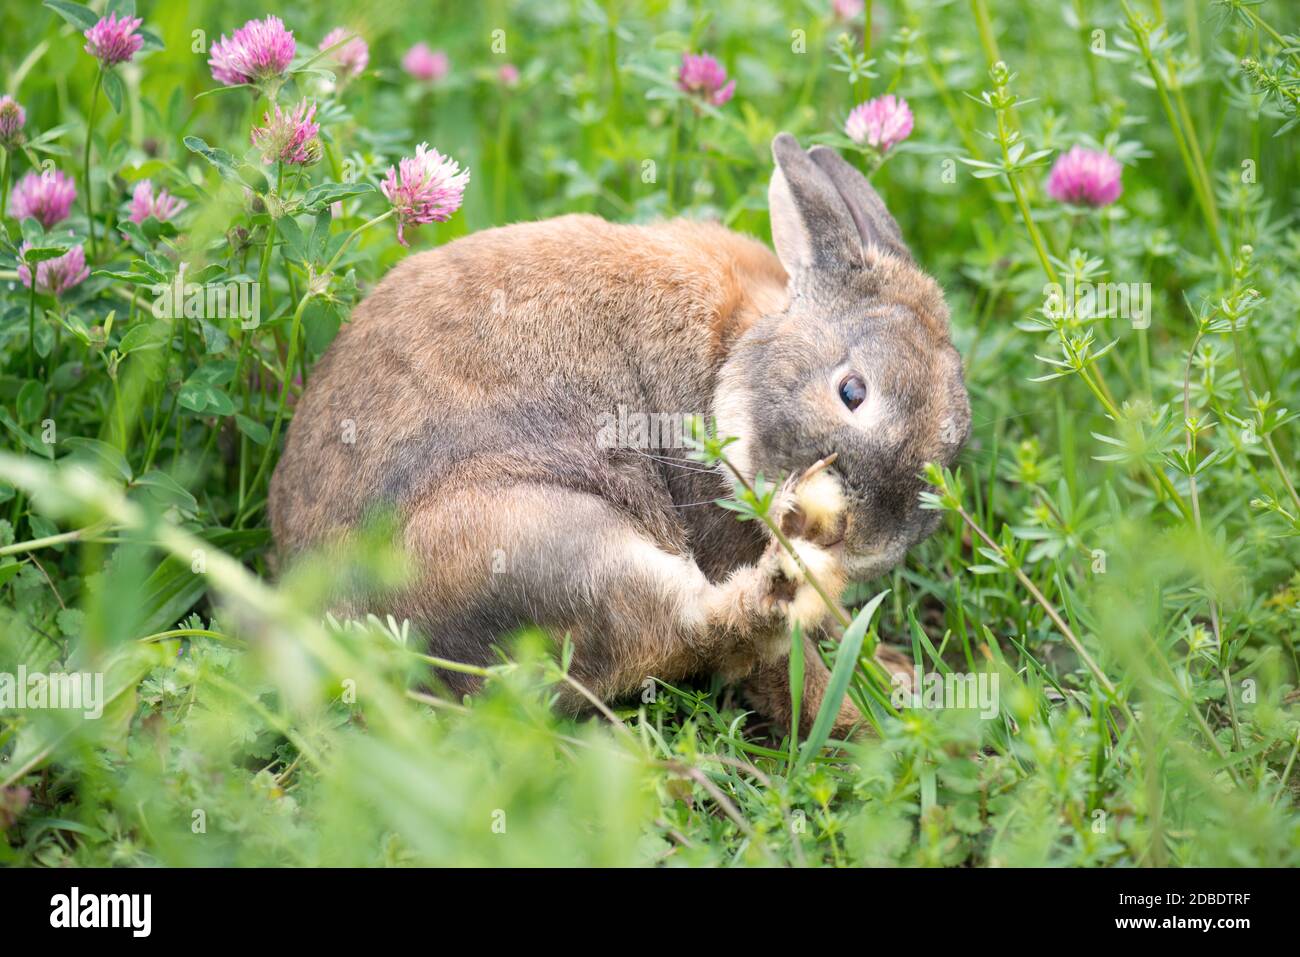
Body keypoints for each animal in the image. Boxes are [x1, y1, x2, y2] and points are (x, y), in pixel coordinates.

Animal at [268, 132, 970, 738]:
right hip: (549, 542)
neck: (738, 348)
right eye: (852, 392)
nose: (866, 537)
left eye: (950, 454)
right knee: (699, 630)